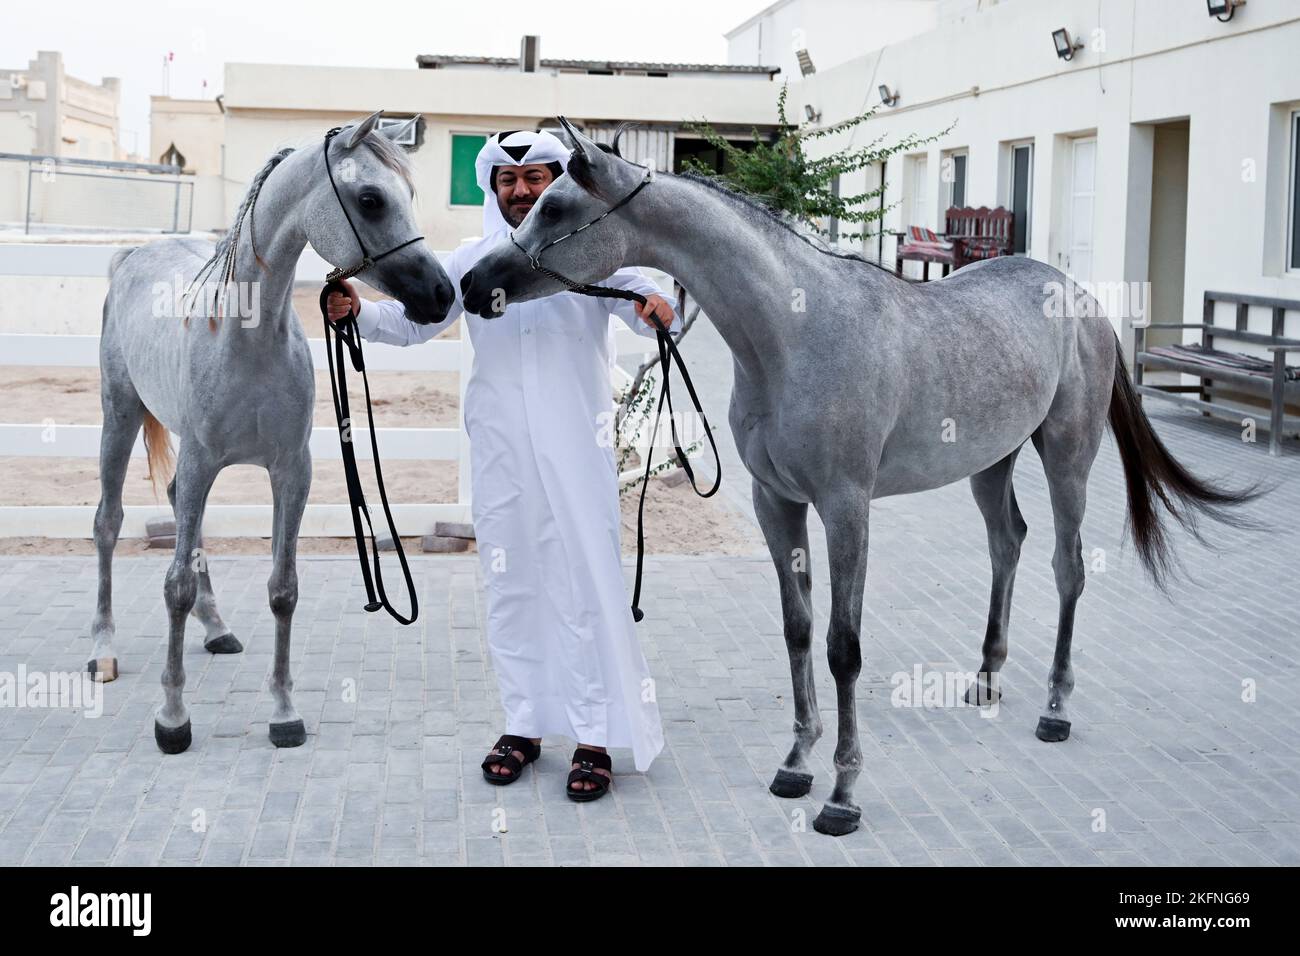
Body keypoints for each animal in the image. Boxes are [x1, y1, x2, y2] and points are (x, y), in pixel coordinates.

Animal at [92, 111, 455, 754]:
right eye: (371, 198)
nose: (440, 295)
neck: (244, 336)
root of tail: (134, 253)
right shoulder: (203, 462)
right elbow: (174, 585)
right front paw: (172, 717)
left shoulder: (291, 472)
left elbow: (283, 588)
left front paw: (284, 710)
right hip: (121, 417)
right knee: (108, 524)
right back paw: (103, 650)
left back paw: (217, 628)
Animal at [458, 118, 1259, 835]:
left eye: (554, 207)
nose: (472, 283)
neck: (793, 332)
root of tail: (1080, 296)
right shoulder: (776, 502)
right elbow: (798, 630)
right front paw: (796, 763)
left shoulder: (846, 506)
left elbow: (845, 646)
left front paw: (843, 794)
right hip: (989, 462)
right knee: (1008, 543)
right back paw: (987, 678)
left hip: (1066, 455)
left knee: (1068, 568)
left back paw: (1054, 709)